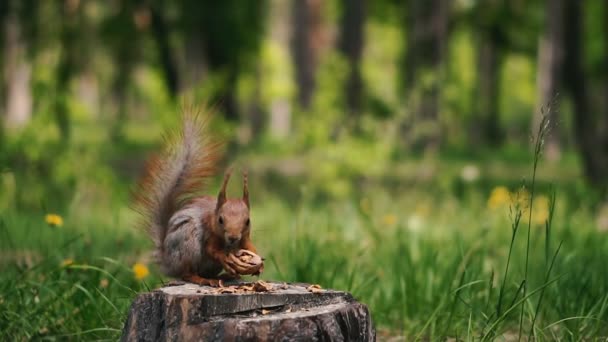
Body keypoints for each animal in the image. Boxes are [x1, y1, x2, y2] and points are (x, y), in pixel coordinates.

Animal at [133, 109, 262, 286]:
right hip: (187, 244)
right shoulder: (209, 232)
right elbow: (211, 249)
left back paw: (224, 276)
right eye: (220, 219)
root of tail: (169, 264)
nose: (233, 237)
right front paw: (224, 257)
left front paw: (258, 263)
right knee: (187, 274)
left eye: (248, 221)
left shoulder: (244, 238)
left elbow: (249, 246)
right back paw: (202, 279)